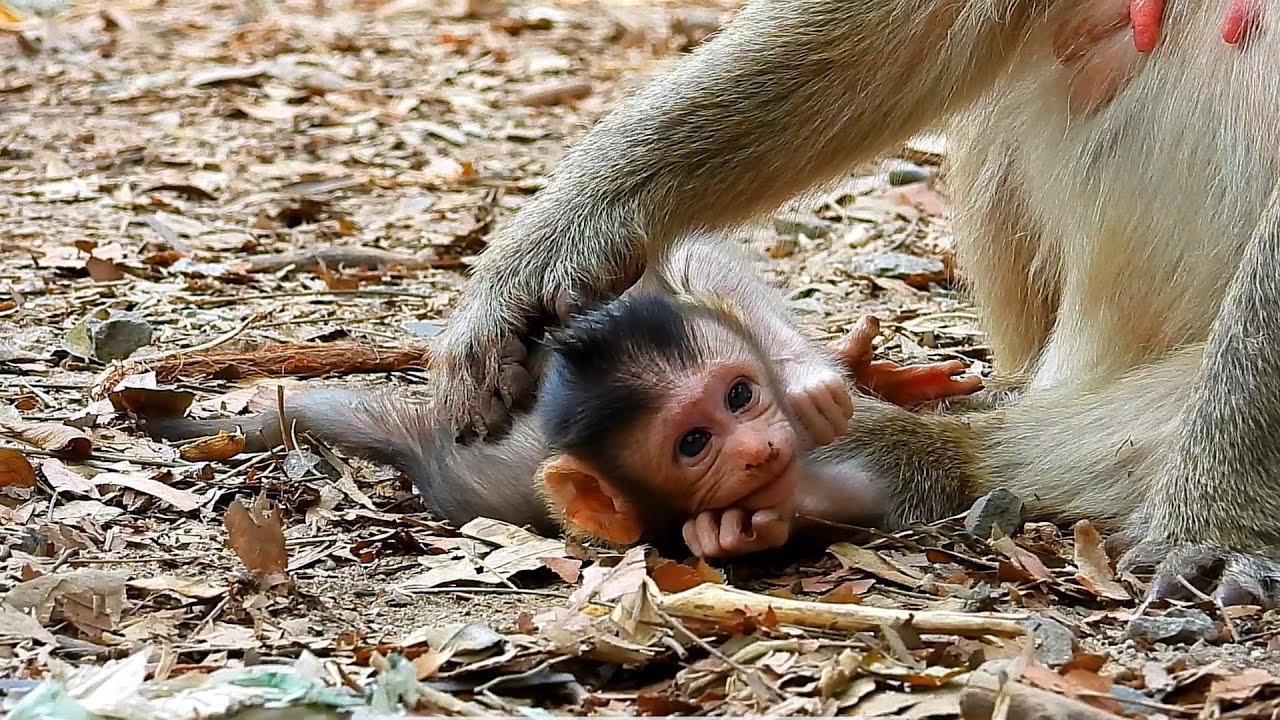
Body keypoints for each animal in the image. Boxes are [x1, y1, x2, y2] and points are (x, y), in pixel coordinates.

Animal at [141, 231, 981, 559]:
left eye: (740, 396)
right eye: (694, 444)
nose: (758, 446)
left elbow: (677, 257)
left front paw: (810, 374)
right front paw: (739, 529)